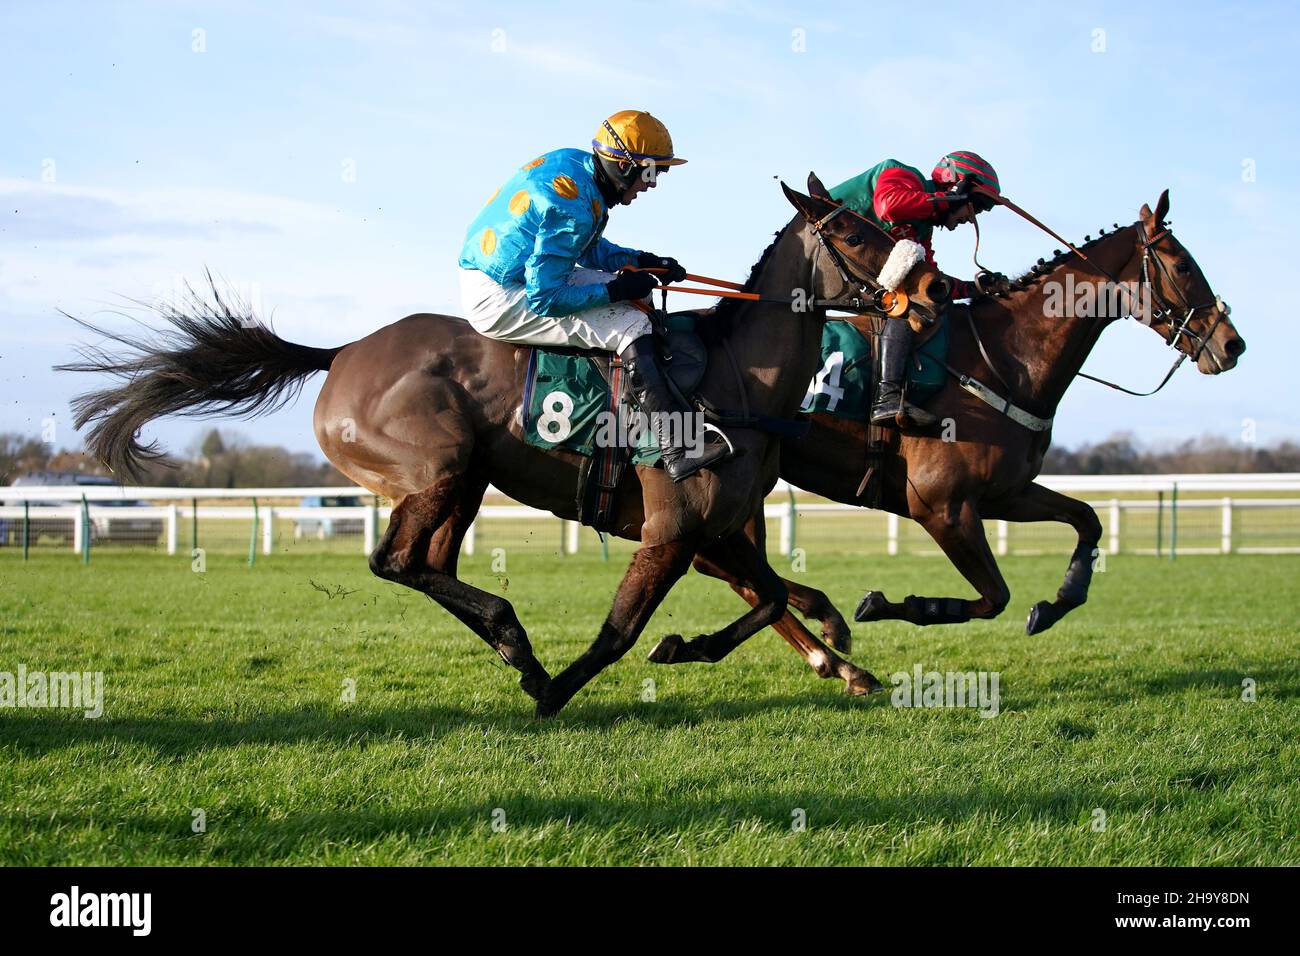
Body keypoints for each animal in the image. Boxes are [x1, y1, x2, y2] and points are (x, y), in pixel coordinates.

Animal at [60, 180, 950, 717]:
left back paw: (509, 641)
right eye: (854, 232)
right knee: (392, 561)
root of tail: (340, 352)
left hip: (464, 481)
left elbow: (771, 595)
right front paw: (566, 688)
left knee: (425, 563)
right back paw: (516, 642)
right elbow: (624, 630)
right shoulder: (673, 531)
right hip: (436, 467)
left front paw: (801, 645)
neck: (734, 380)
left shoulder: (720, 527)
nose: (935, 290)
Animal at [659, 187, 1245, 691]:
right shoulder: (943, 506)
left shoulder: (1006, 494)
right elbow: (993, 597)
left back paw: (833, 653)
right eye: (1183, 265)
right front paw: (889, 604)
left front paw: (1060, 598)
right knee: (726, 566)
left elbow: (1086, 519)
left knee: (734, 571)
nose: (1232, 345)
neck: (1004, 361)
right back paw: (827, 643)